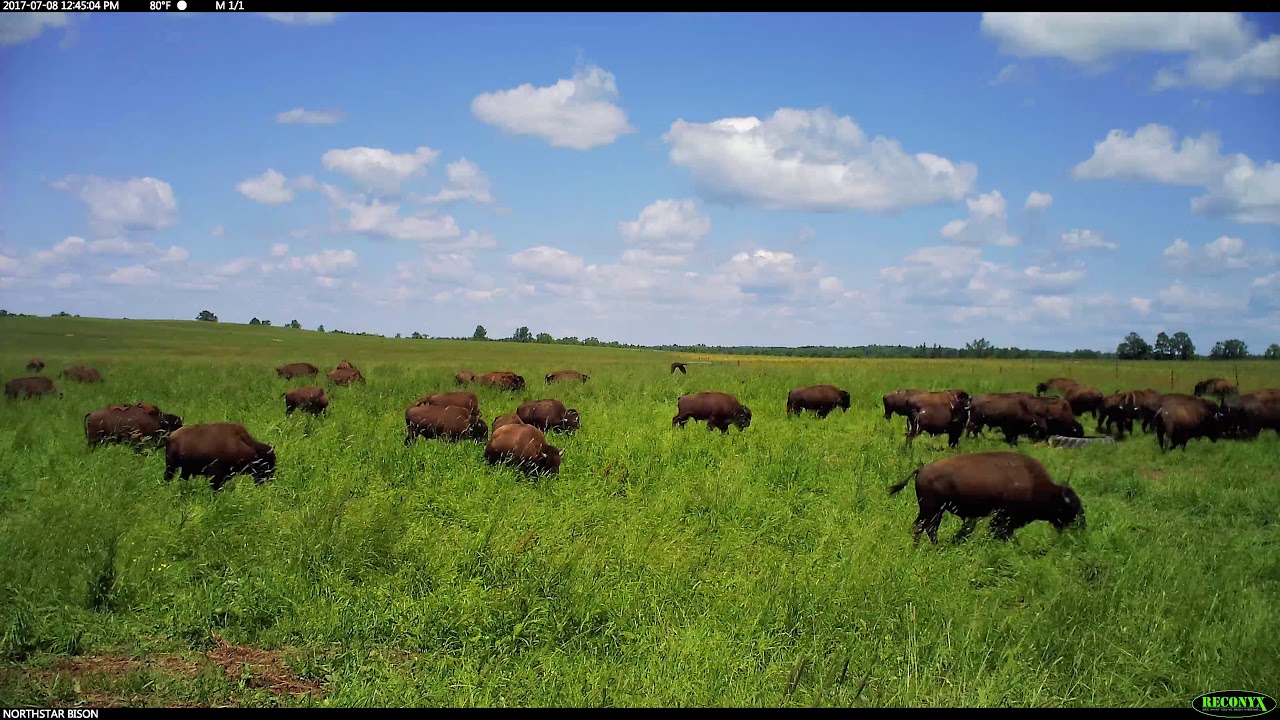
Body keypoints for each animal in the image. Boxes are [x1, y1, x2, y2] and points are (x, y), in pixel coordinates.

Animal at [888, 451, 1085, 544]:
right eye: (1072, 506)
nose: (1081, 526)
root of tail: (921, 470)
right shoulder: (1004, 517)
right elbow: (1001, 532)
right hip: (931, 509)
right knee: (921, 527)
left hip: (935, 511)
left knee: (928, 528)